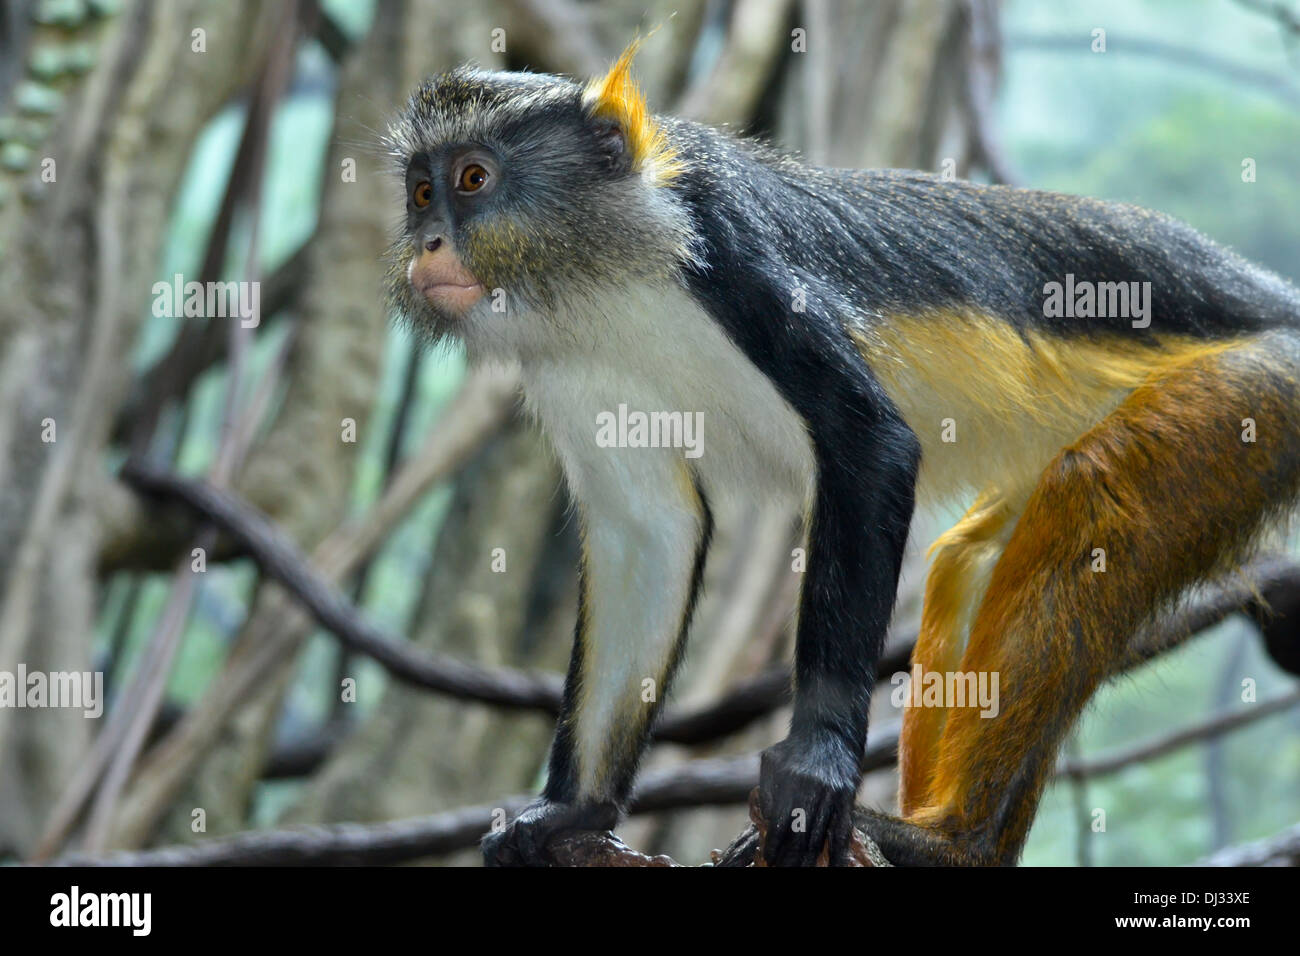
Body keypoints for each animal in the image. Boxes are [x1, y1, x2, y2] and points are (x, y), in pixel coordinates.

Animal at [383, 40, 1300, 867]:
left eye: (474, 179)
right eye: (422, 193)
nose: (429, 246)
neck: (606, 268)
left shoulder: (735, 262)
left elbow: (872, 442)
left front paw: (816, 766)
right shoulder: (566, 365)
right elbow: (649, 530)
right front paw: (573, 811)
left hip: (1255, 398)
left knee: (1090, 491)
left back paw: (950, 842)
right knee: (973, 559)